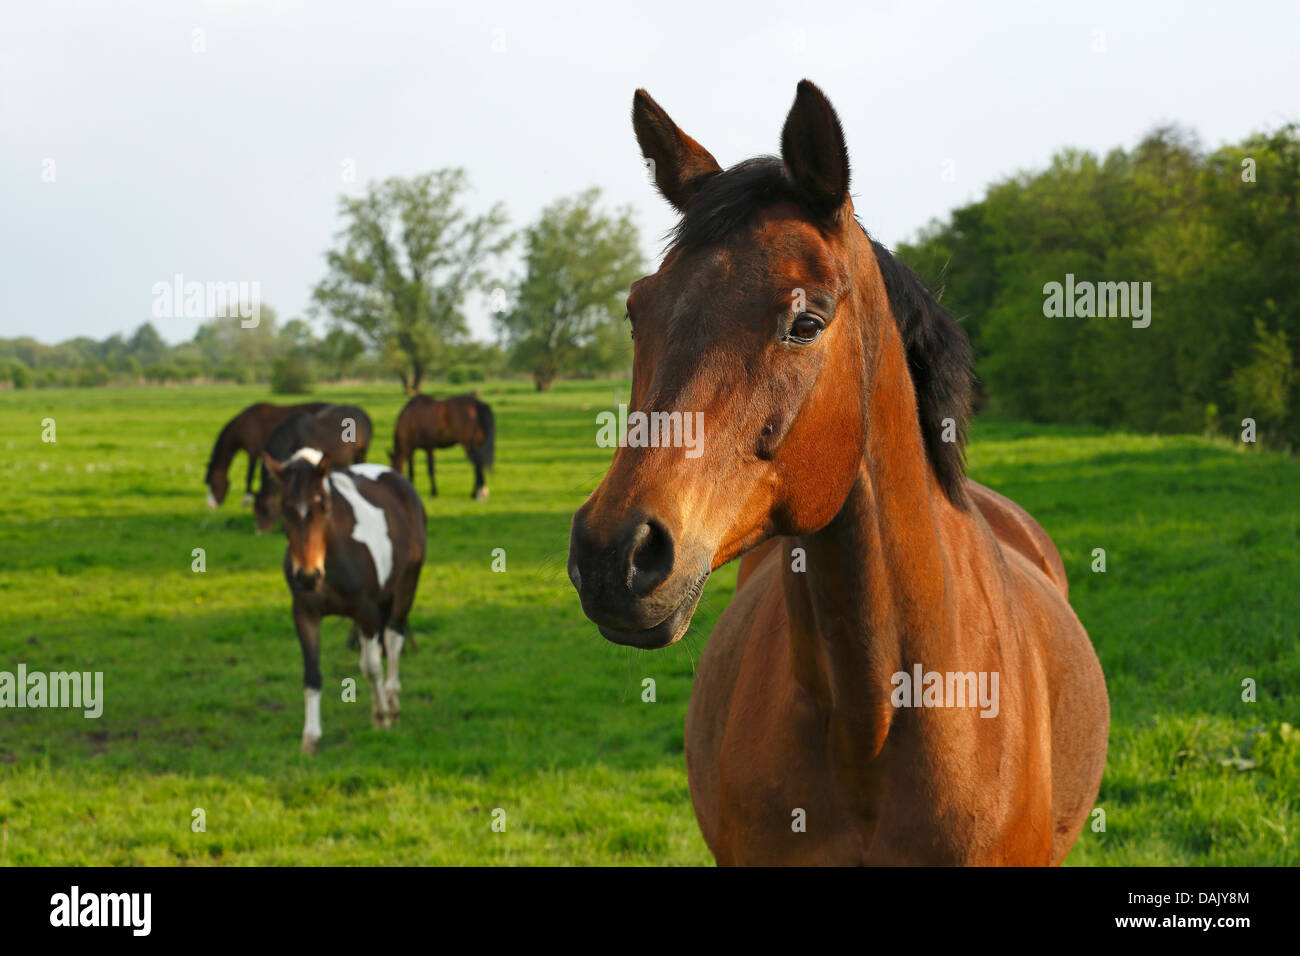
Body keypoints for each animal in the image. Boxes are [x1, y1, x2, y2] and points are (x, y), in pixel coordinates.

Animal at [262, 448, 426, 753]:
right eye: (285, 509)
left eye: (324, 506)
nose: (308, 576)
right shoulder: (305, 614)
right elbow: (312, 675)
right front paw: (311, 738)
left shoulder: (366, 612)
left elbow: (371, 668)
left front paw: (382, 717)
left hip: (406, 586)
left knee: (393, 640)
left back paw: (391, 703)